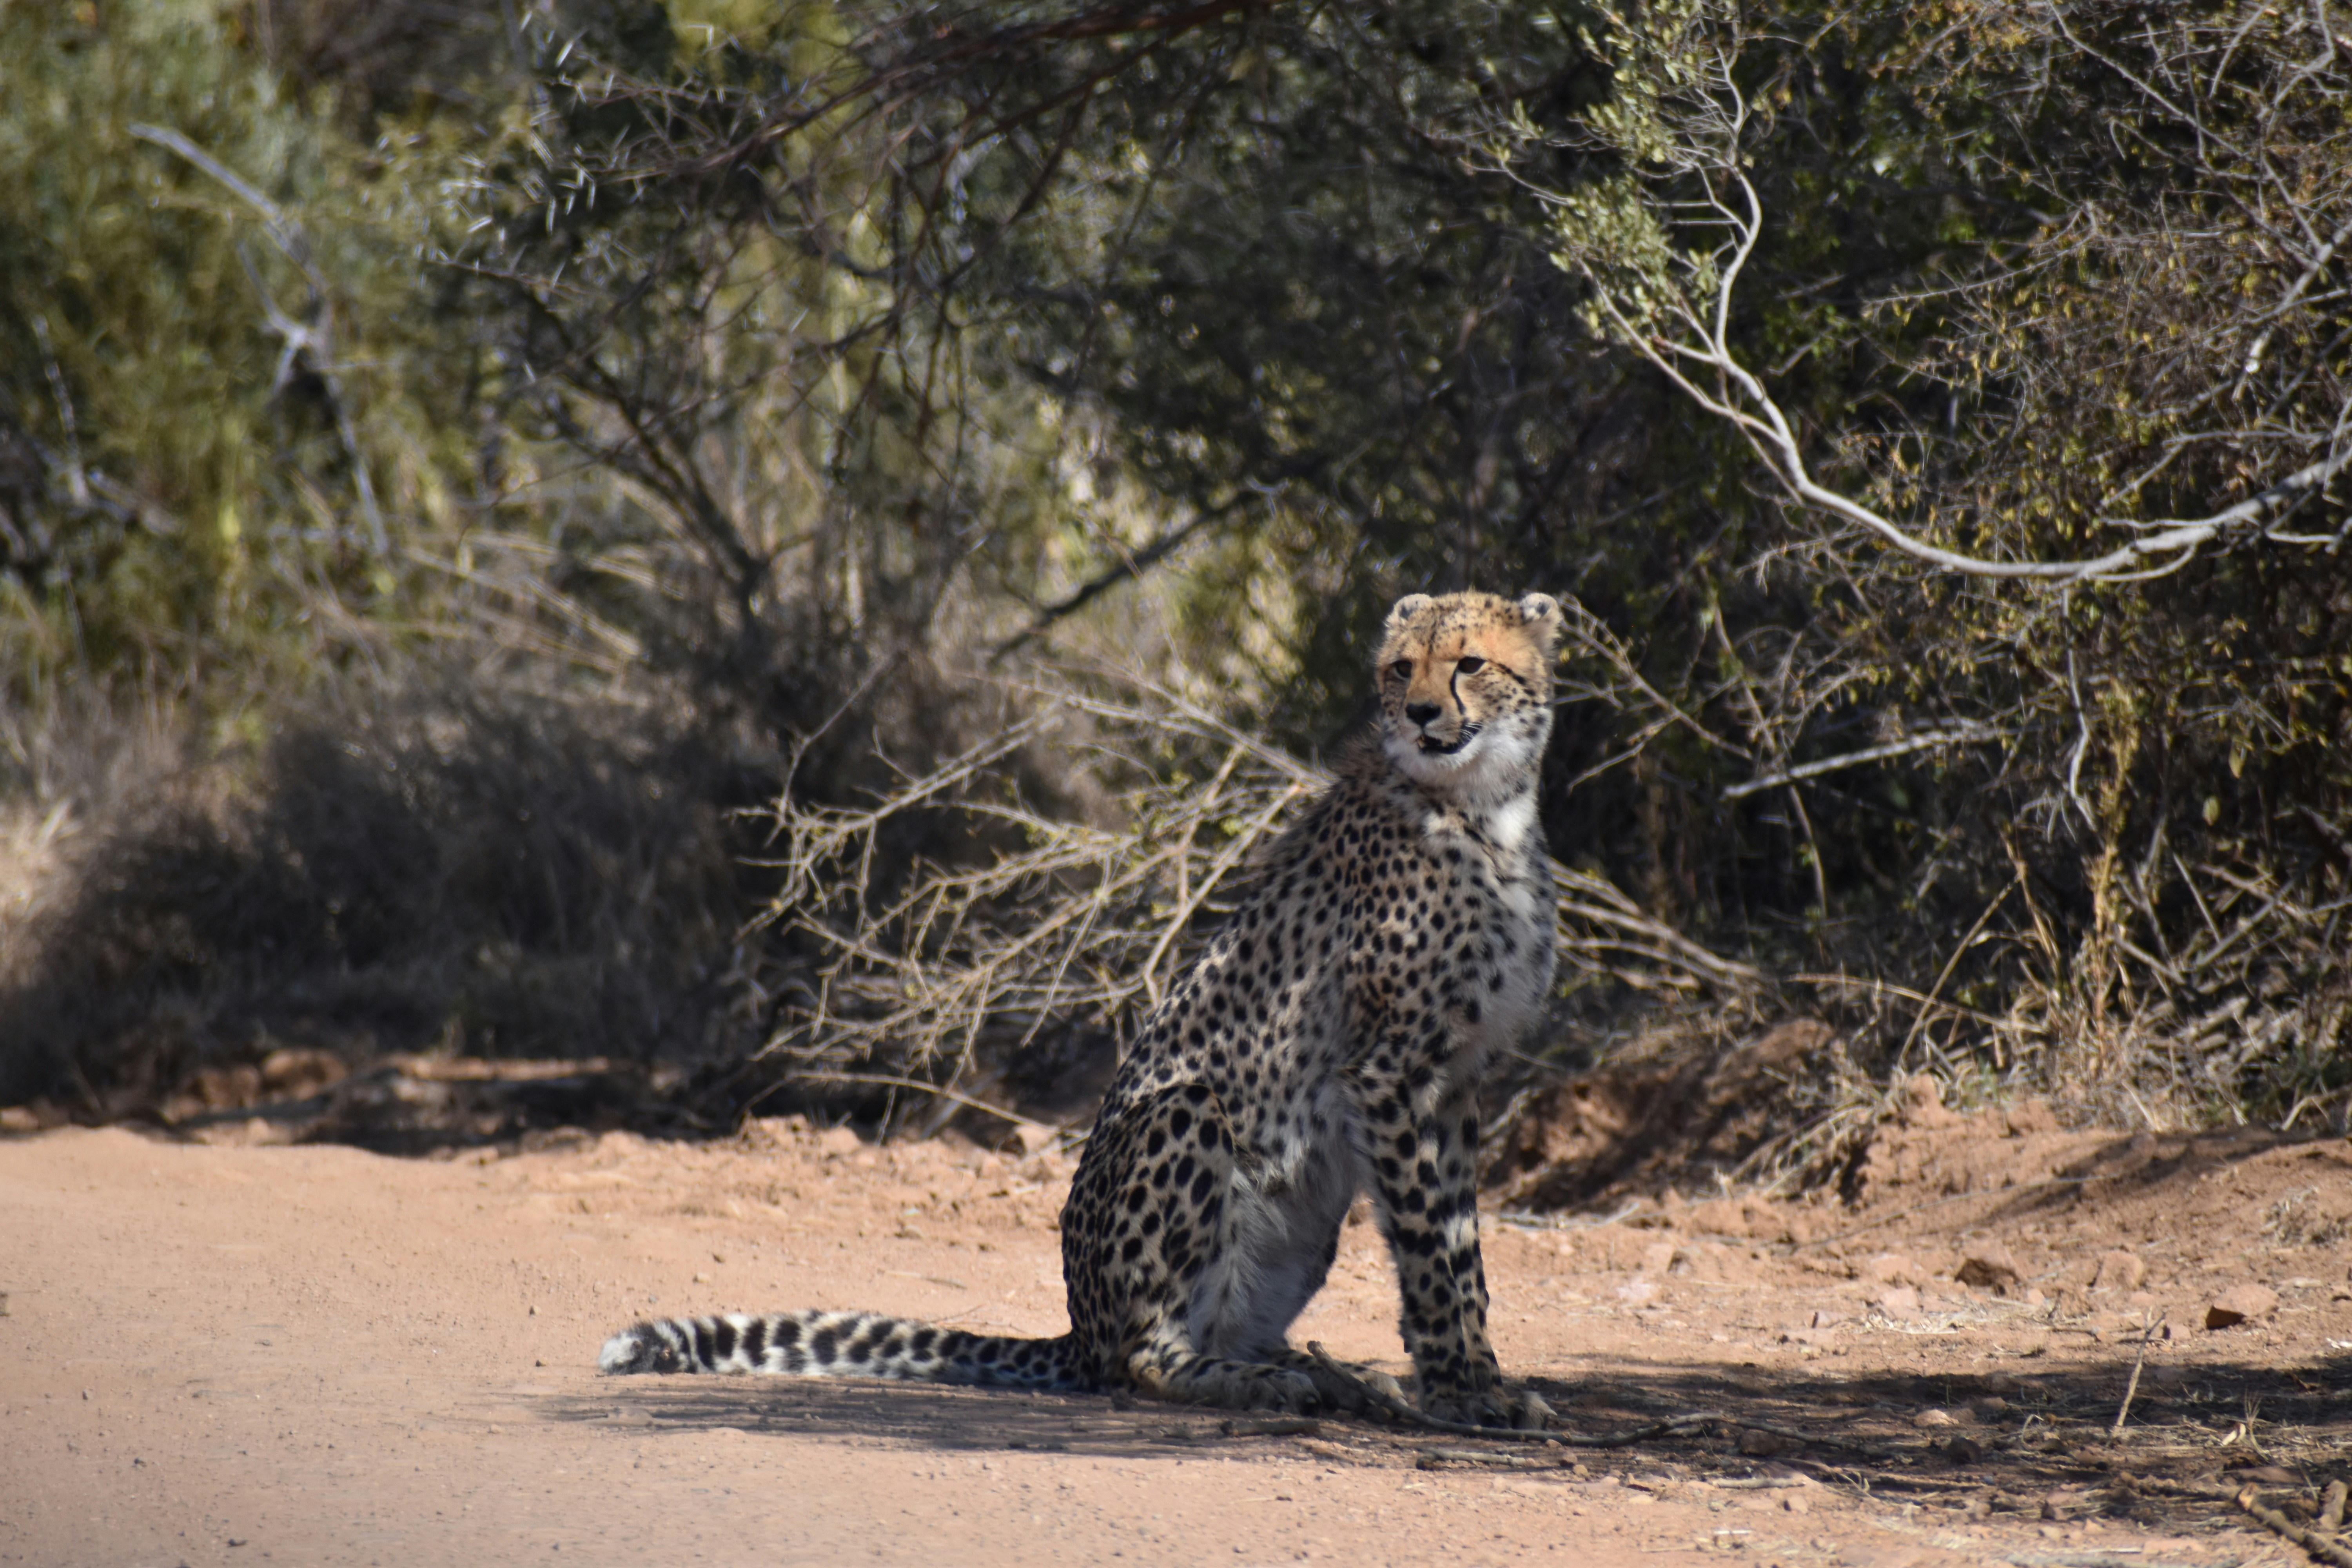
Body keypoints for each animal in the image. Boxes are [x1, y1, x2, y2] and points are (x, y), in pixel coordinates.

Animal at [602, 589, 1564, 1429]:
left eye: (1469, 663)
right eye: (1402, 668)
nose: (1422, 716)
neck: (1485, 807)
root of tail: (1078, 1323)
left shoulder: (1455, 1081)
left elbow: (1461, 1246)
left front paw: (1484, 1382)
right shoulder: (1389, 1070)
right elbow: (1432, 1250)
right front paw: (1463, 1392)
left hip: (1303, 1218)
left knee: (1228, 1328)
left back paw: (1330, 1374)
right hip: (1185, 1112)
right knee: (1140, 1356)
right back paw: (1262, 1383)